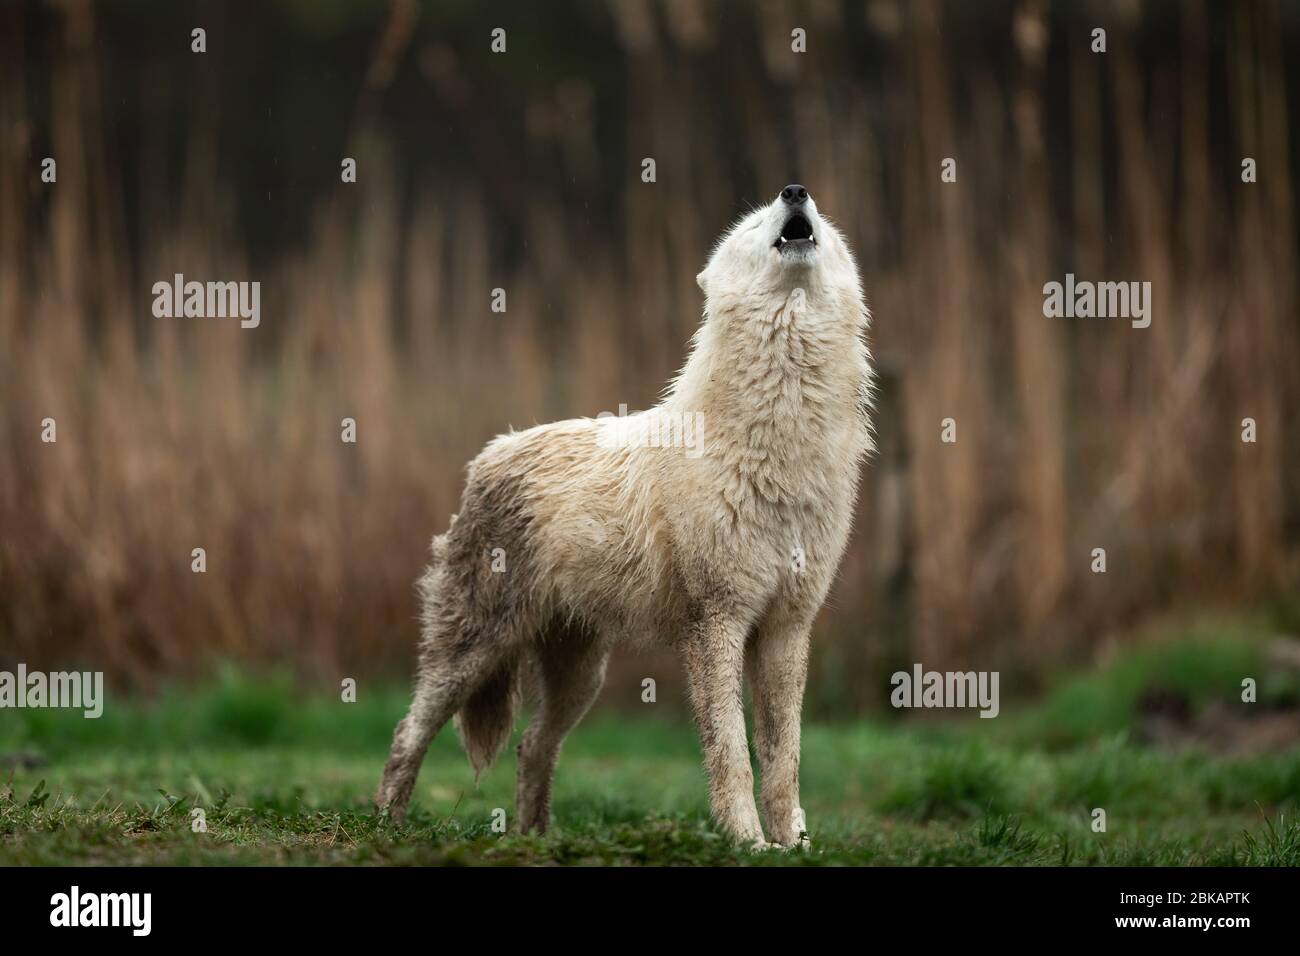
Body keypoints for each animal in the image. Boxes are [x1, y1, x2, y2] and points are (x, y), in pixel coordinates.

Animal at [377, 185, 874, 848]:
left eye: (819, 220)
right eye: (754, 222)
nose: (795, 191)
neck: (779, 439)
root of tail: (492, 451)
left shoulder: (787, 629)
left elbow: (784, 761)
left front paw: (793, 845)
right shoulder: (716, 623)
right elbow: (732, 755)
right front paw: (747, 842)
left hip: (580, 676)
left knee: (533, 746)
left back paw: (538, 839)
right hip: (472, 653)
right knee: (408, 733)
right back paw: (386, 824)